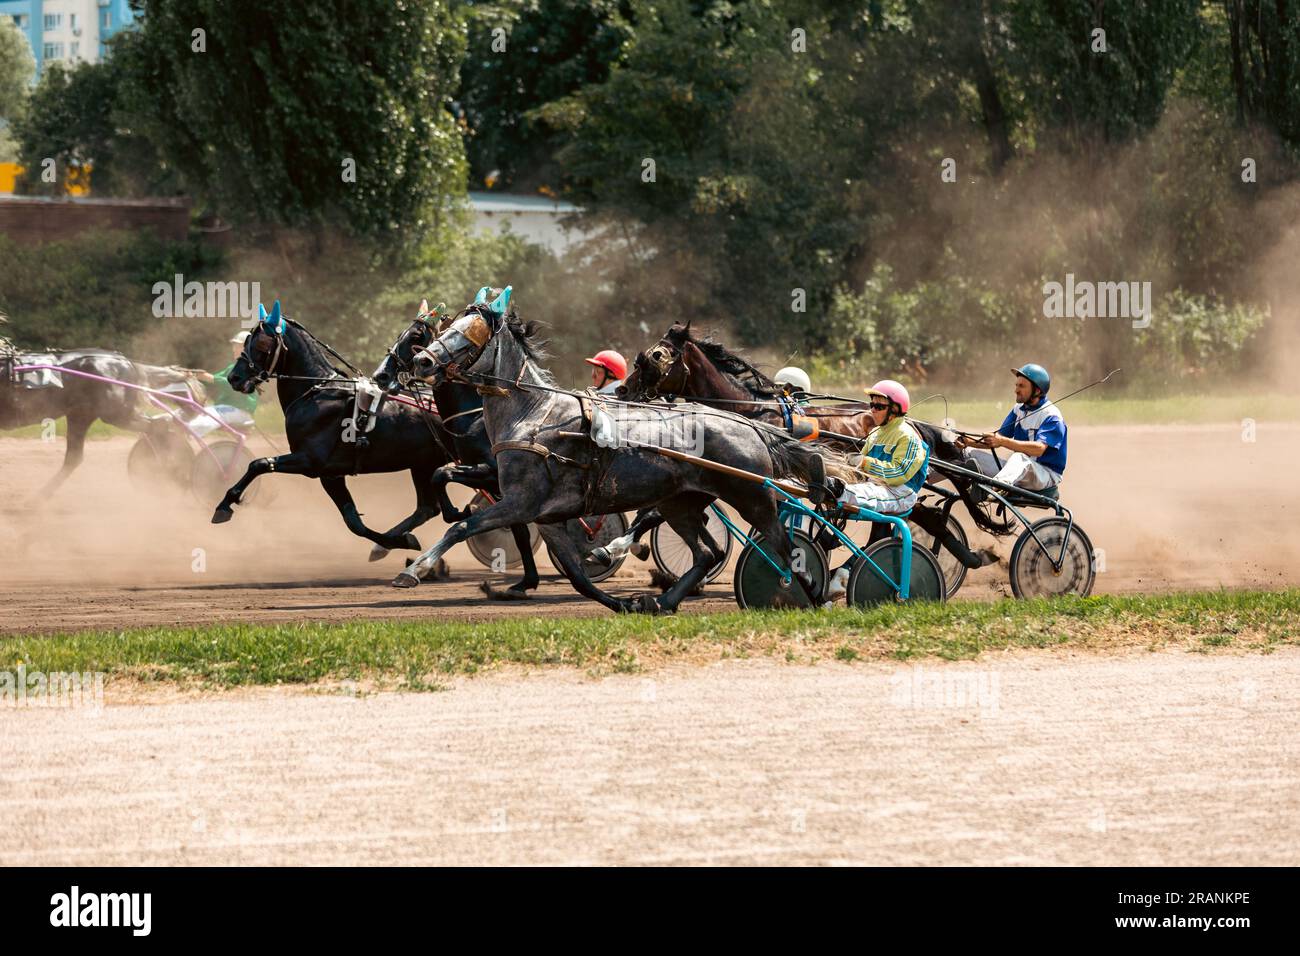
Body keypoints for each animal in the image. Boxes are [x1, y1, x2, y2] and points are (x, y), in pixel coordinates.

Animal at [209, 301, 455, 563]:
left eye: (262, 343)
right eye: (247, 339)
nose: (234, 377)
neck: (316, 393)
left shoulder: (310, 461)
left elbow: (260, 463)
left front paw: (224, 504)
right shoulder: (330, 474)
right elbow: (353, 521)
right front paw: (398, 541)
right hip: (422, 463)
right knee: (427, 508)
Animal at [371, 300, 541, 598]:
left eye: (416, 335)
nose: (381, 375)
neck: (477, 418)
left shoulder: (492, 472)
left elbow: (441, 475)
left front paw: (464, 512)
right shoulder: (495, 482)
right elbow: (519, 531)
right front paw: (527, 581)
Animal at [393, 287, 829, 615]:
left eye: (470, 330)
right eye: (447, 325)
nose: (422, 361)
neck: (533, 413)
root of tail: (750, 425)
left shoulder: (519, 502)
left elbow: (461, 526)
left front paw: (414, 570)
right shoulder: (546, 517)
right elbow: (578, 578)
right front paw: (624, 604)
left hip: (752, 496)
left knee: (785, 547)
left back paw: (808, 593)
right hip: (680, 503)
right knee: (707, 552)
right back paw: (663, 601)